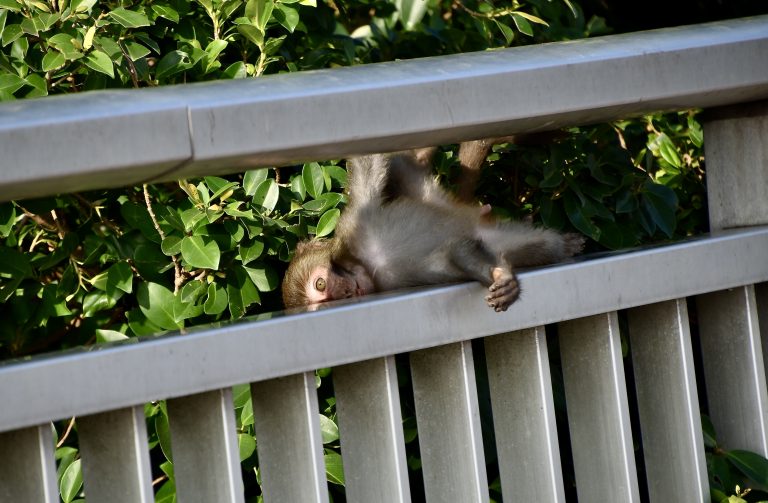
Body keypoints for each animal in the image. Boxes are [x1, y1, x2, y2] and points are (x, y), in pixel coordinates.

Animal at [282, 141, 584, 312]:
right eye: (327, 299)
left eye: (320, 283)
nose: (344, 292)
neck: (365, 263)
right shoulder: (391, 279)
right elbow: (451, 255)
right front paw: (502, 278)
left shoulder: (355, 222)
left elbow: (369, 162)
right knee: (540, 247)